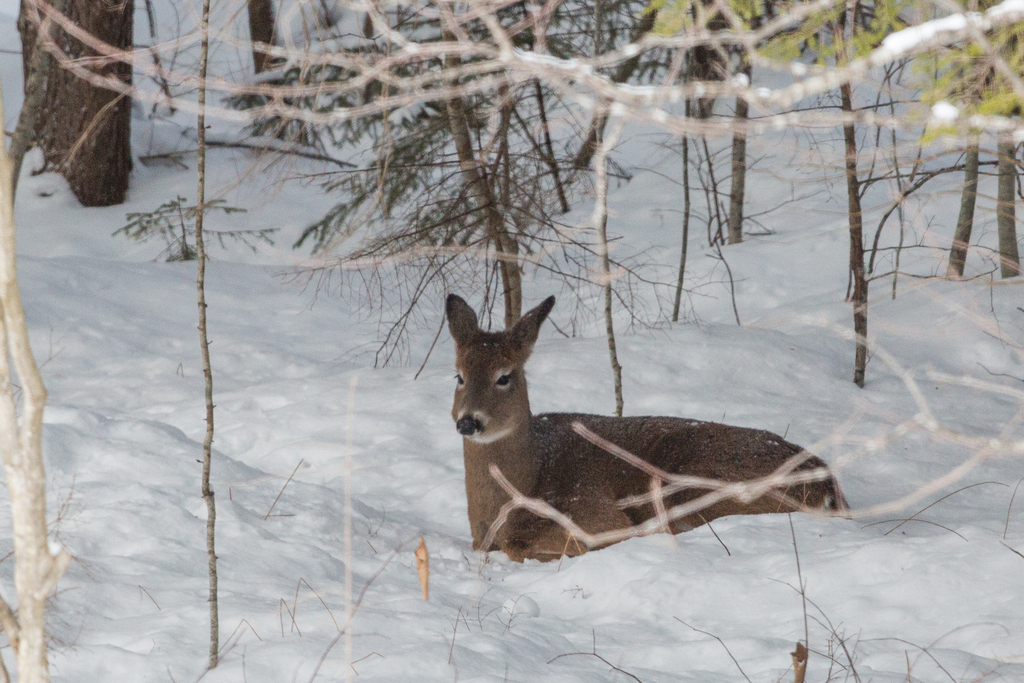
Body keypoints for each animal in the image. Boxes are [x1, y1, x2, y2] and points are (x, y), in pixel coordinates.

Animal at [446, 293, 849, 562]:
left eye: (505, 377)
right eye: (459, 375)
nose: (468, 421)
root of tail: (826, 485)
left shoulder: (591, 510)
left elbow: (520, 546)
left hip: (697, 484)